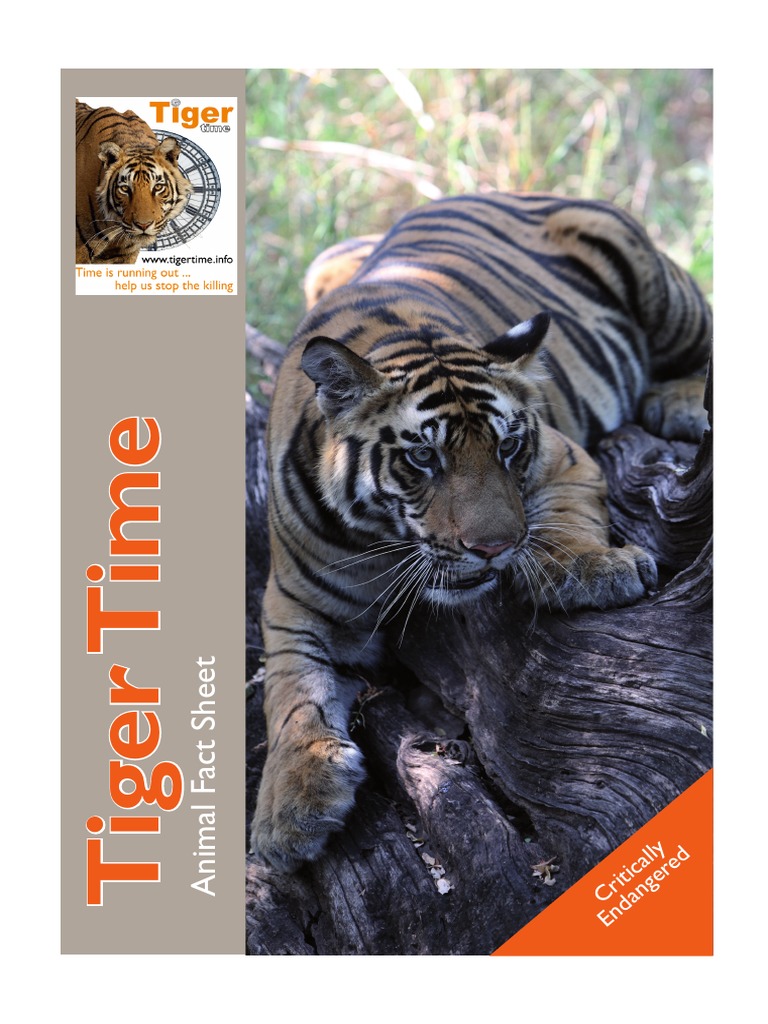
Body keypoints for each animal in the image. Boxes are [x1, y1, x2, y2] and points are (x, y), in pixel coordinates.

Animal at [250, 191, 712, 872]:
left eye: (509, 447)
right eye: (423, 458)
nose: (491, 549)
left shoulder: (566, 456)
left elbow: (563, 521)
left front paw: (596, 568)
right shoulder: (292, 600)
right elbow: (289, 693)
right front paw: (289, 810)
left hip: (654, 279)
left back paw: (676, 400)